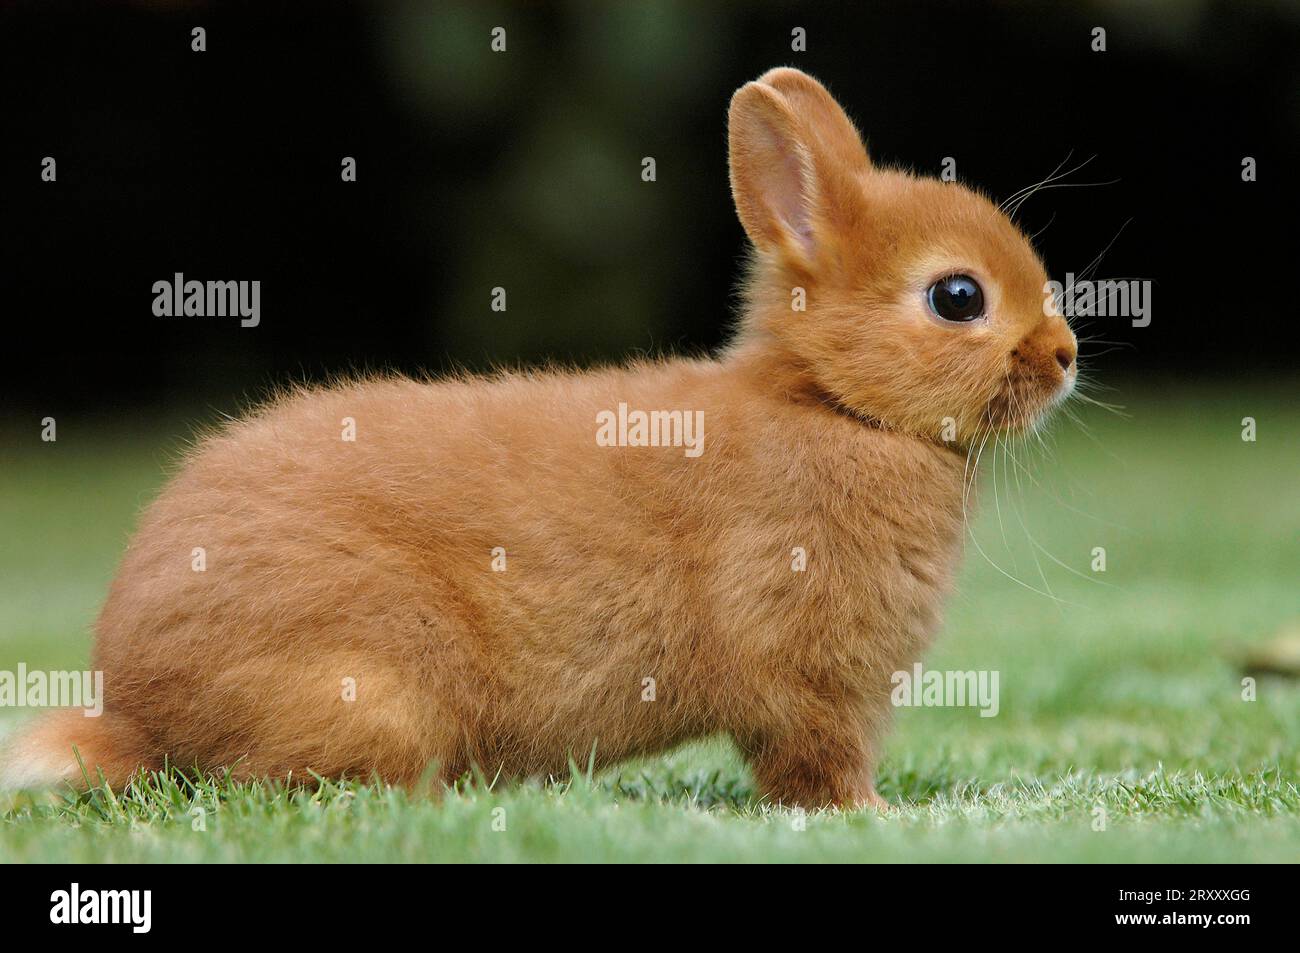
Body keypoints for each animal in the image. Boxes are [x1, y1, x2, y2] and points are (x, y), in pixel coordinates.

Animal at [1, 67, 1076, 809]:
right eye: (958, 297)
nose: (1065, 356)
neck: (833, 405)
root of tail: (133, 708)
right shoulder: (809, 674)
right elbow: (816, 761)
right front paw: (872, 813)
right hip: (369, 687)